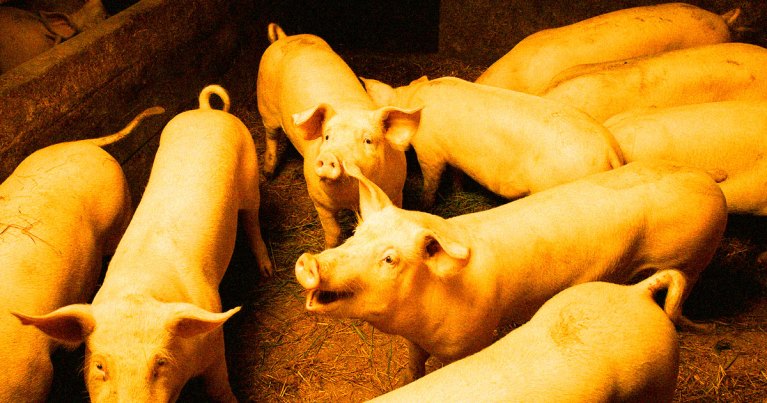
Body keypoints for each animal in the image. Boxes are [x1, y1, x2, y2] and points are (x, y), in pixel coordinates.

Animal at [256, 23, 422, 247]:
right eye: (327, 137)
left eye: (367, 140)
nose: (330, 156)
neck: (350, 196)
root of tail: (284, 37)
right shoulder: (319, 200)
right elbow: (333, 232)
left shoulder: (396, 191)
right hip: (265, 106)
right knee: (271, 135)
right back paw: (268, 174)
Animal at [295, 160, 726, 381]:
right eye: (356, 233)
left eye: (389, 258)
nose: (309, 262)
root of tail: (706, 178)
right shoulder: (414, 339)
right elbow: (414, 365)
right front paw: (406, 381)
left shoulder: (470, 340)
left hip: (694, 257)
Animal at [361, 76, 623, 208]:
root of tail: (609, 150)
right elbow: (456, 174)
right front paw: (459, 190)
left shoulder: (430, 150)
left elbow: (431, 181)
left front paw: (424, 205)